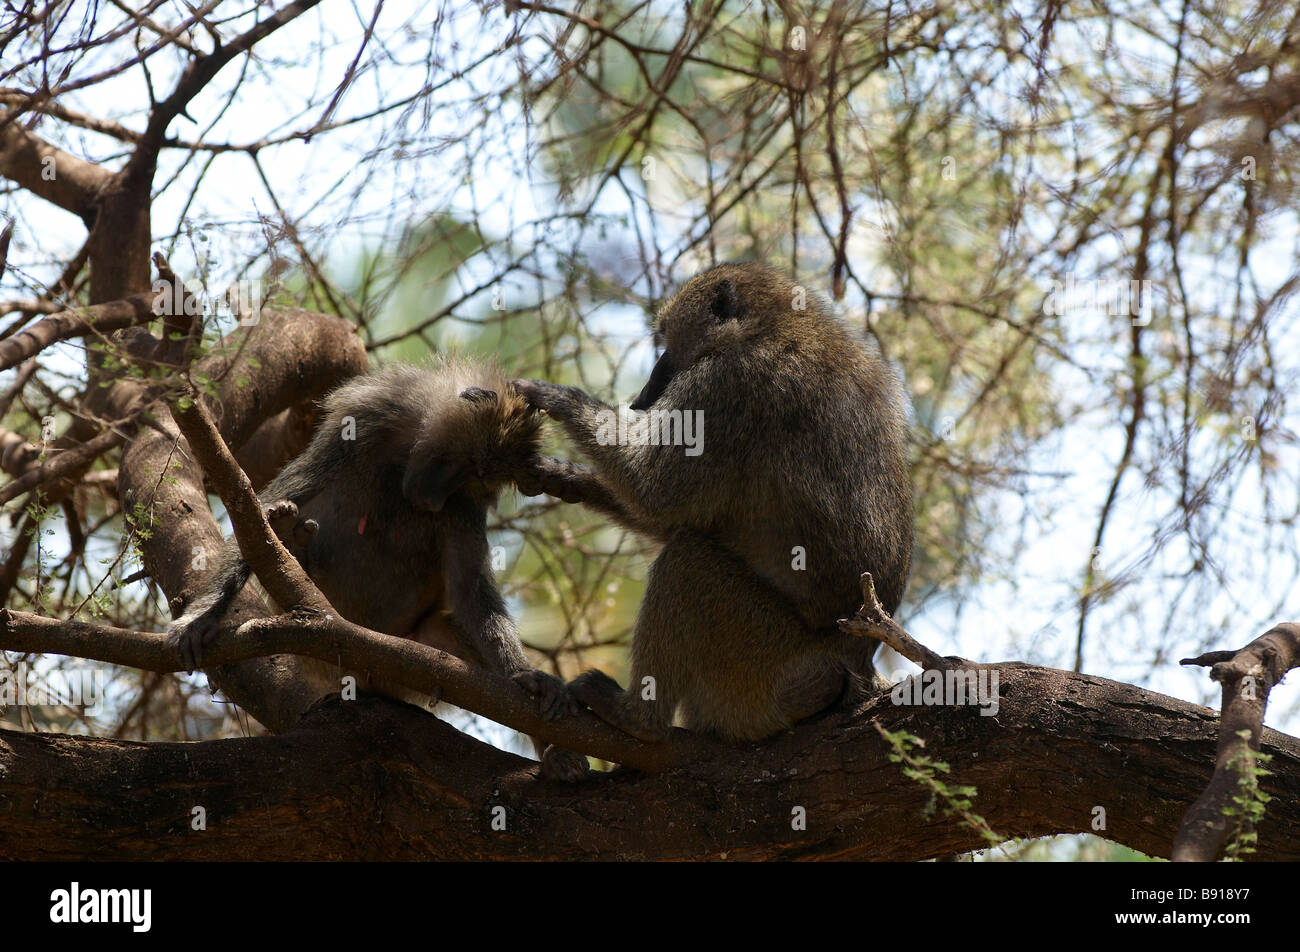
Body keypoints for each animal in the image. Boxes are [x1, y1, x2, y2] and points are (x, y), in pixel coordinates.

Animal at [166, 357, 589, 781]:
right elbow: (268, 503)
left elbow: (470, 591)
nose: (434, 501)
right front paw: (201, 617)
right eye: (472, 464)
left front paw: (529, 679)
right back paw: (291, 543)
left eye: (478, 479)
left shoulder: (464, 506)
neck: (407, 450)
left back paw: (556, 752)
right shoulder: (365, 420)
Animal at [506, 262, 913, 745]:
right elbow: (668, 511)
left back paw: (636, 717)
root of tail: (856, 664)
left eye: (667, 339)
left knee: (687, 560)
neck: (771, 326)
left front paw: (555, 398)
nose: (641, 398)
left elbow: (653, 492)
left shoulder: (725, 384)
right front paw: (559, 476)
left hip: (760, 665)